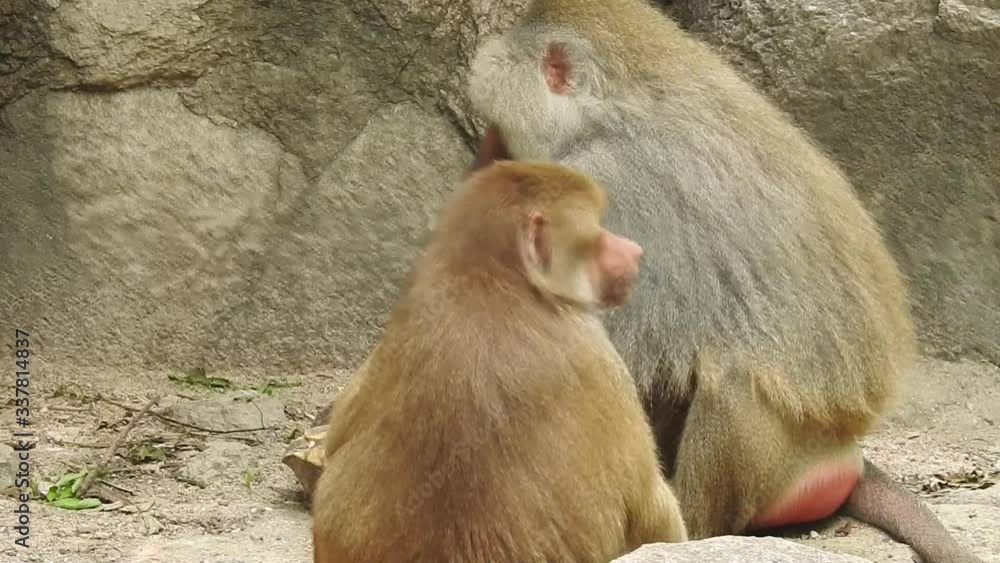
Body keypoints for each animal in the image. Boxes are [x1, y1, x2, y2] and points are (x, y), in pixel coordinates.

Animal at [465, 1, 984, 562]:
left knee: (732, 384)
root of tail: (847, 449)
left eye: (497, 129)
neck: (614, 103)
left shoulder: (607, 185)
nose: (479, 161)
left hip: (785, 454)